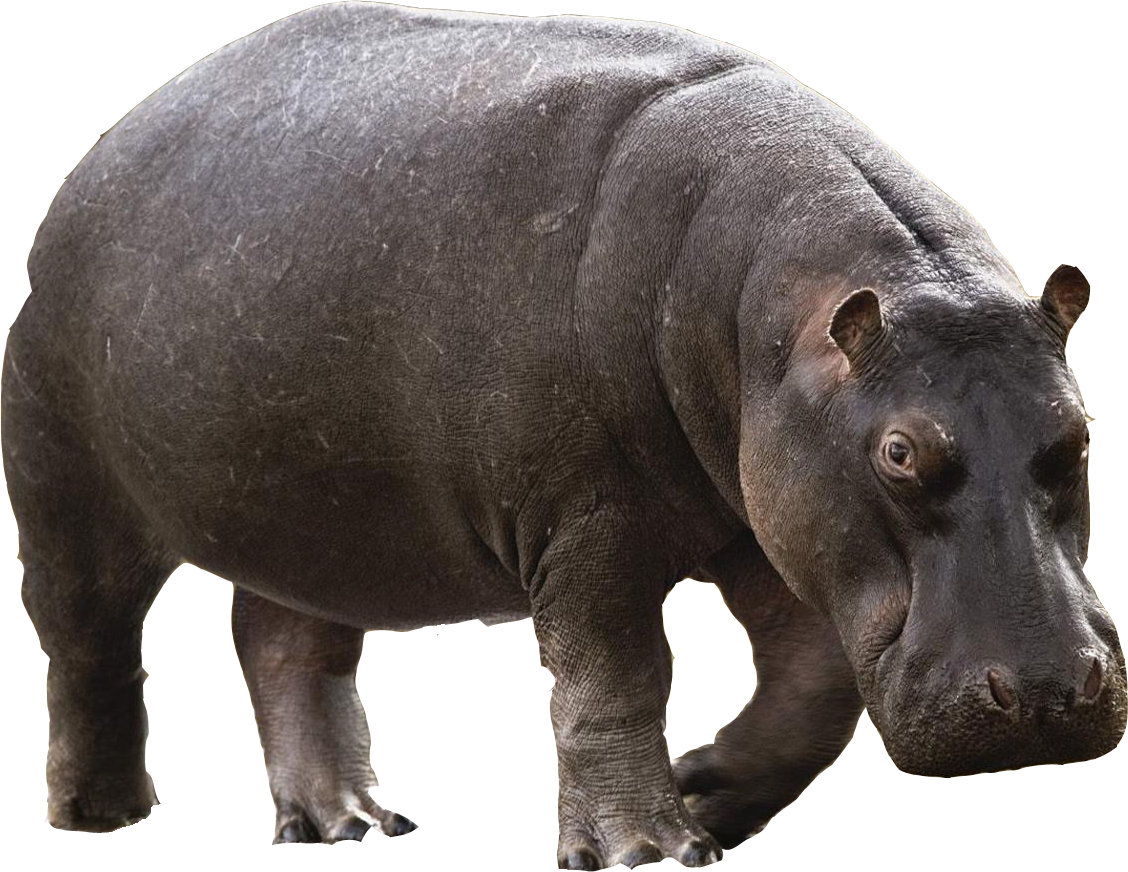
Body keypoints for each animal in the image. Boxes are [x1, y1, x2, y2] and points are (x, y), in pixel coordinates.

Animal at [2, 2, 1123, 867]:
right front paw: (652, 847)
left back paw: (353, 824)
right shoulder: (586, 525)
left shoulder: (769, 519)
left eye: (1076, 434)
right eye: (900, 451)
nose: (1047, 689)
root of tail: (110, 144)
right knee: (88, 648)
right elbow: (617, 679)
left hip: (317, 515)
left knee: (283, 641)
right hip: (70, 486)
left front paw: (705, 788)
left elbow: (811, 686)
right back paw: (105, 817)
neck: (776, 315)